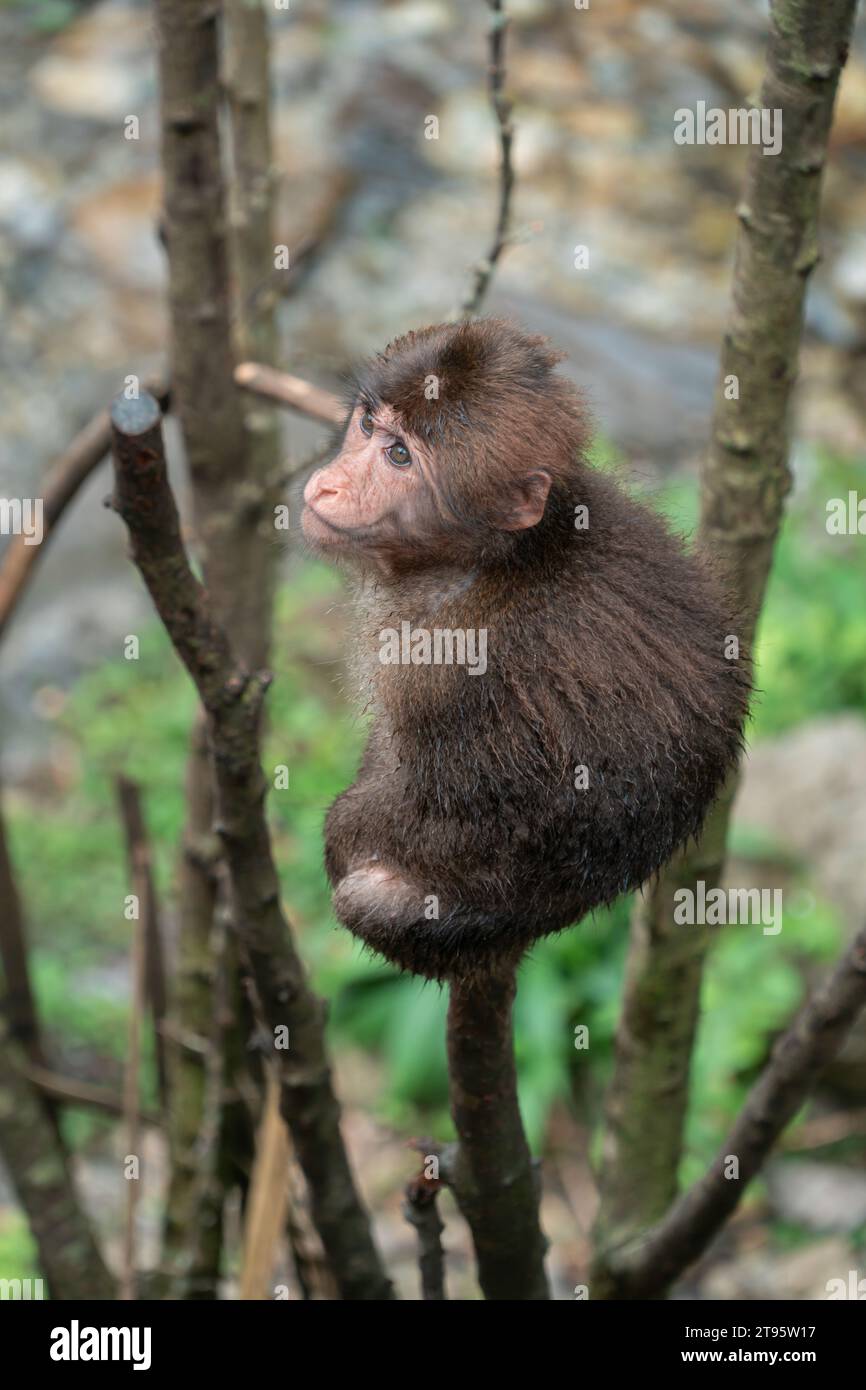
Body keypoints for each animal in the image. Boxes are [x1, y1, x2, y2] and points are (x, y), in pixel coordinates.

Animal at [301, 318, 751, 981]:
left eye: (400, 456)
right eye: (367, 426)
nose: (328, 484)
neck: (490, 559)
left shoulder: (438, 664)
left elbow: (472, 815)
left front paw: (343, 831)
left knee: (375, 895)